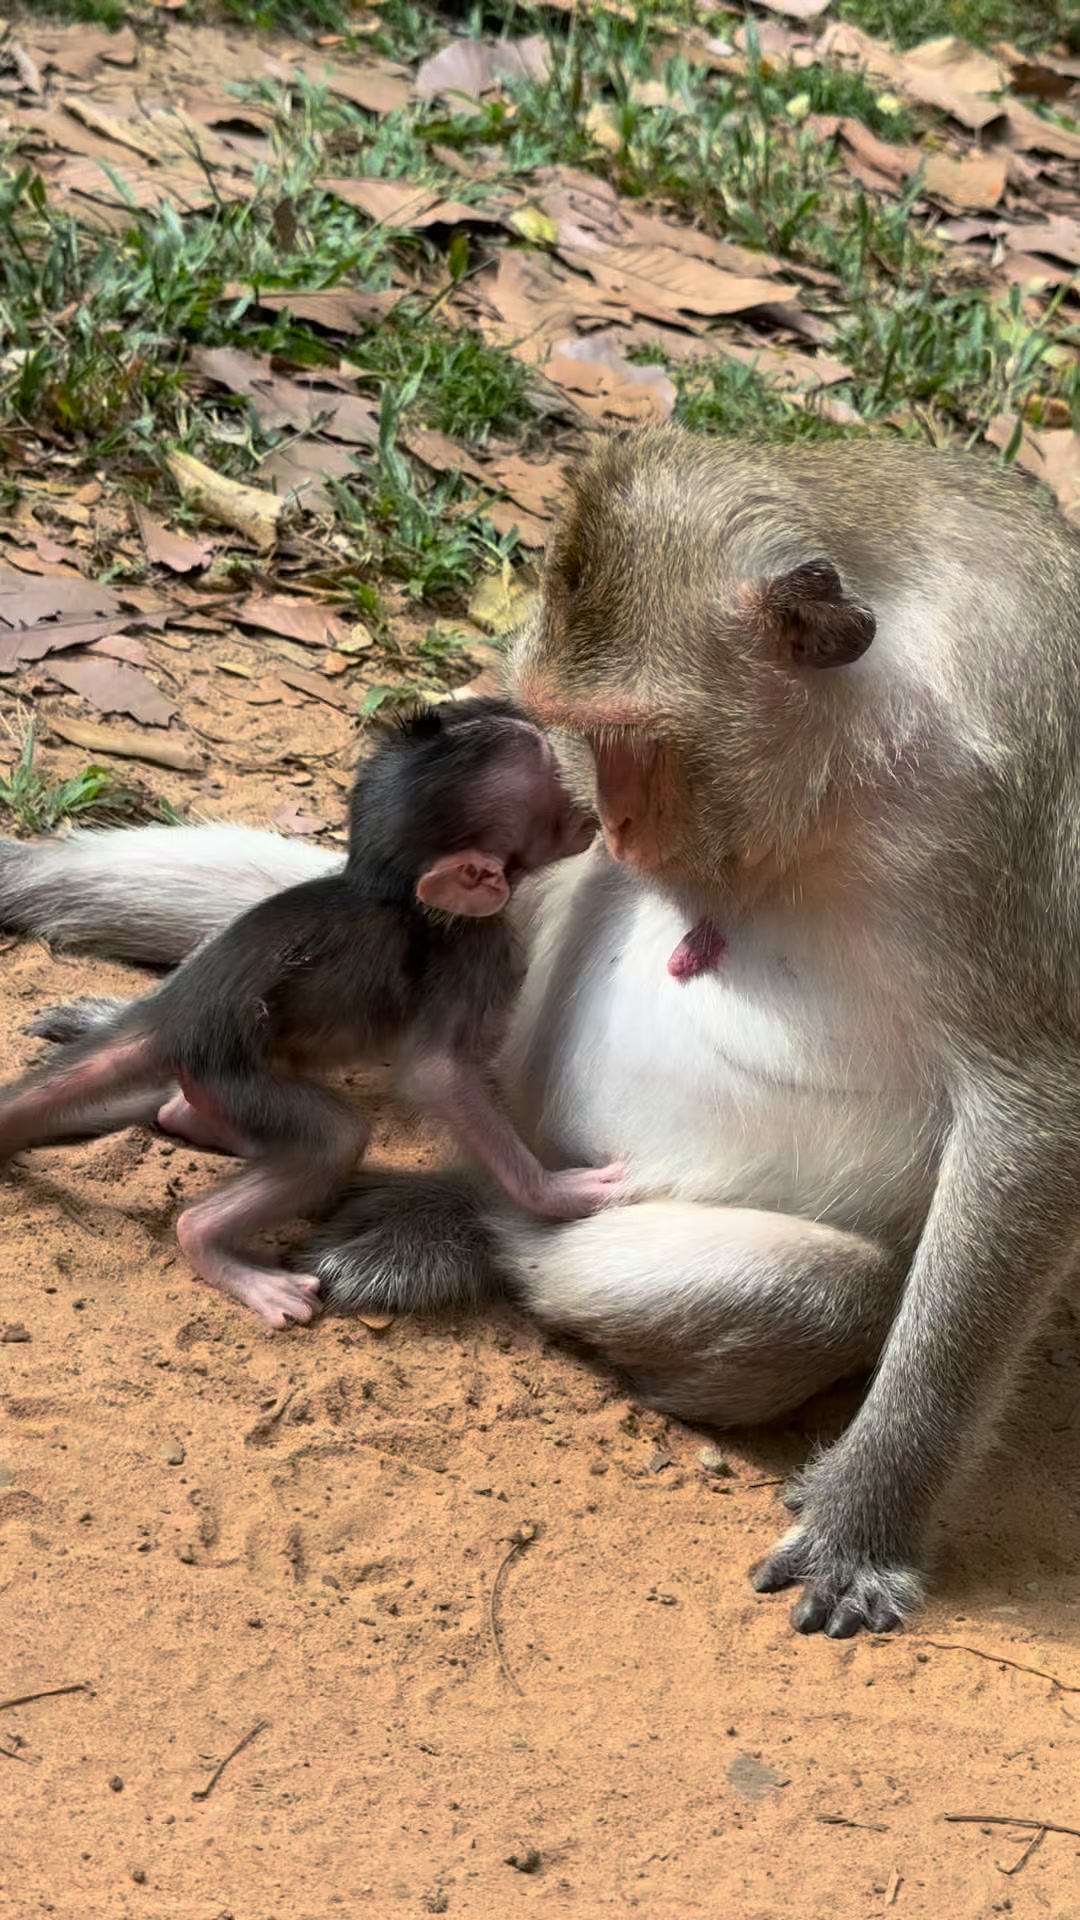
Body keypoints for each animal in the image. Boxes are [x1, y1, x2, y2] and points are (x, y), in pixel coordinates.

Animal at [0, 696, 626, 1329]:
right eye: (558, 794)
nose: (594, 814)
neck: (386, 882)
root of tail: (175, 1015)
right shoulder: (473, 957)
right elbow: (441, 1076)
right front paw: (553, 1193)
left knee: (198, 1111)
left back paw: (193, 1122)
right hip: (236, 1078)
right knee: (329, 1141)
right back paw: (219, 1250)